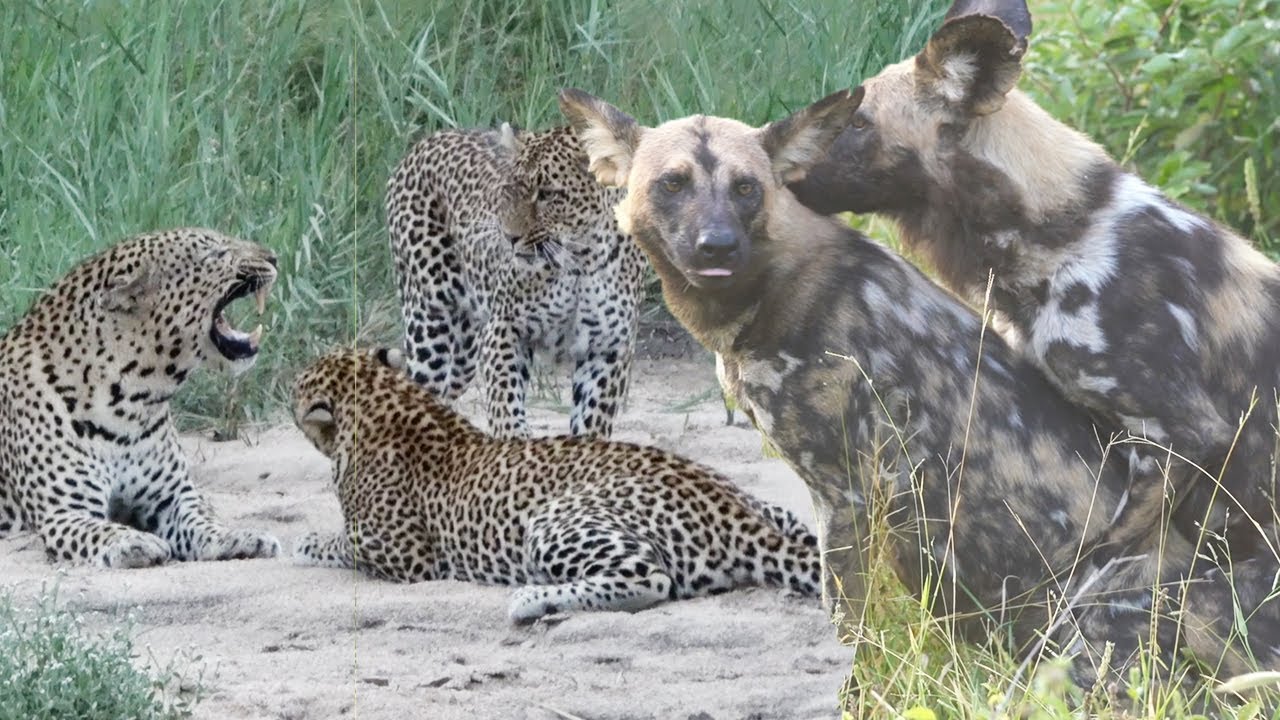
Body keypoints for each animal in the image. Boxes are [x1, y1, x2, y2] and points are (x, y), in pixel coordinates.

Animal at [0, 228, 282, 568]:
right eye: (215, 254)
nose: (274, 257)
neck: (131, 402)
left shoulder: (174, 497)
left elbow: (203, 520)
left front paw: (239, 536)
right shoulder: (64, 513)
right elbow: (99, 530)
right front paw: (133, 541)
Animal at [290, 345, 821, 623]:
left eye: (297, 386)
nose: (286, 394)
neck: (387, 399)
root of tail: (736, 513)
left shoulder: (401, 551)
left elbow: (334, 543)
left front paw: (304, 544)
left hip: (555, 521)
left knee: (649, 579)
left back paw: (530, 600)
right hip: (777, 511)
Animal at [385, 123, 647, 440]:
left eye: (547, 194)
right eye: (509, 190)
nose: (509, 236)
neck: (579, 263)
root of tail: (427, 140)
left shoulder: (609, 346)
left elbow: (593, 419)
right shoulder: (505, 328)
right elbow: (504, 399)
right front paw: (515, 439)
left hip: (464, 352)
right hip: (430, 329)